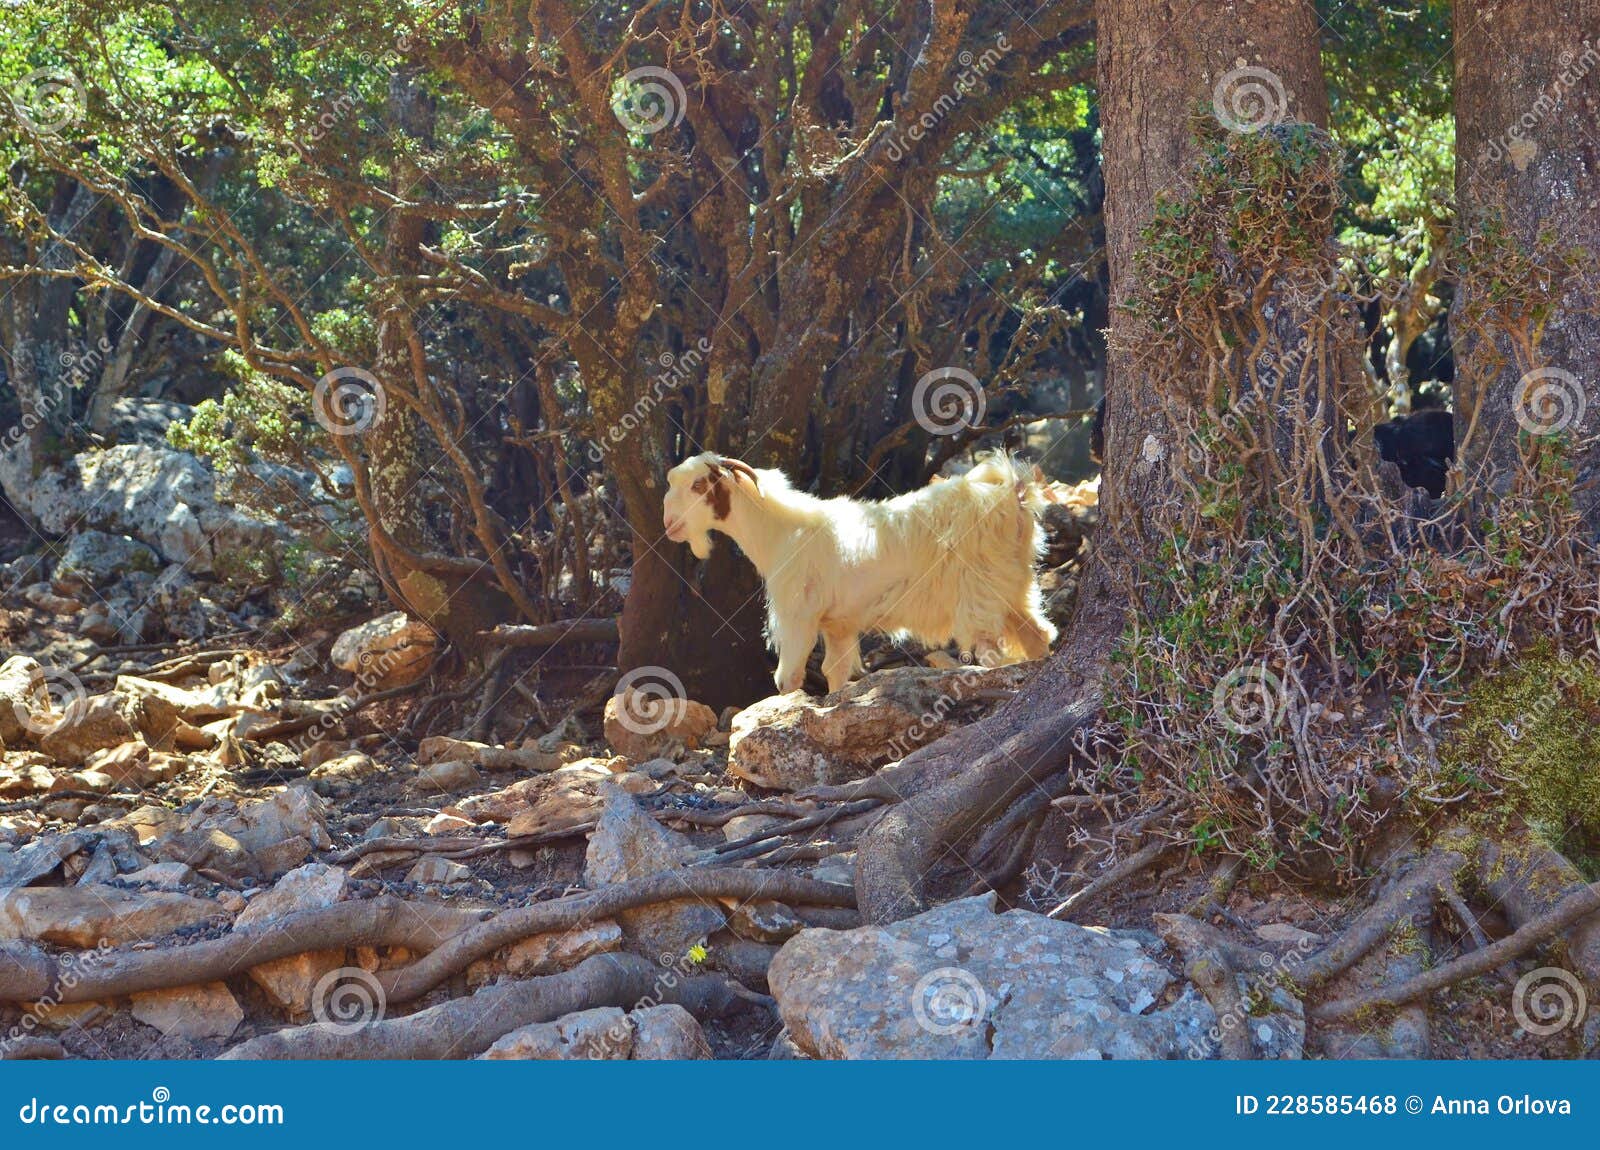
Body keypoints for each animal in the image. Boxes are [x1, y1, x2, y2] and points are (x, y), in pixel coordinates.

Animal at [662, 451, 1058, 695]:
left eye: (699, 485)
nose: (670, 525)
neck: (782, 531)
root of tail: (1012, 493)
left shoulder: (799, 617)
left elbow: (788, 679)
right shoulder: (839, 625)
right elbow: (834, 671)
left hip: (980, 591)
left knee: (991, 651)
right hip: (1012, 588)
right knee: (1038, 635)